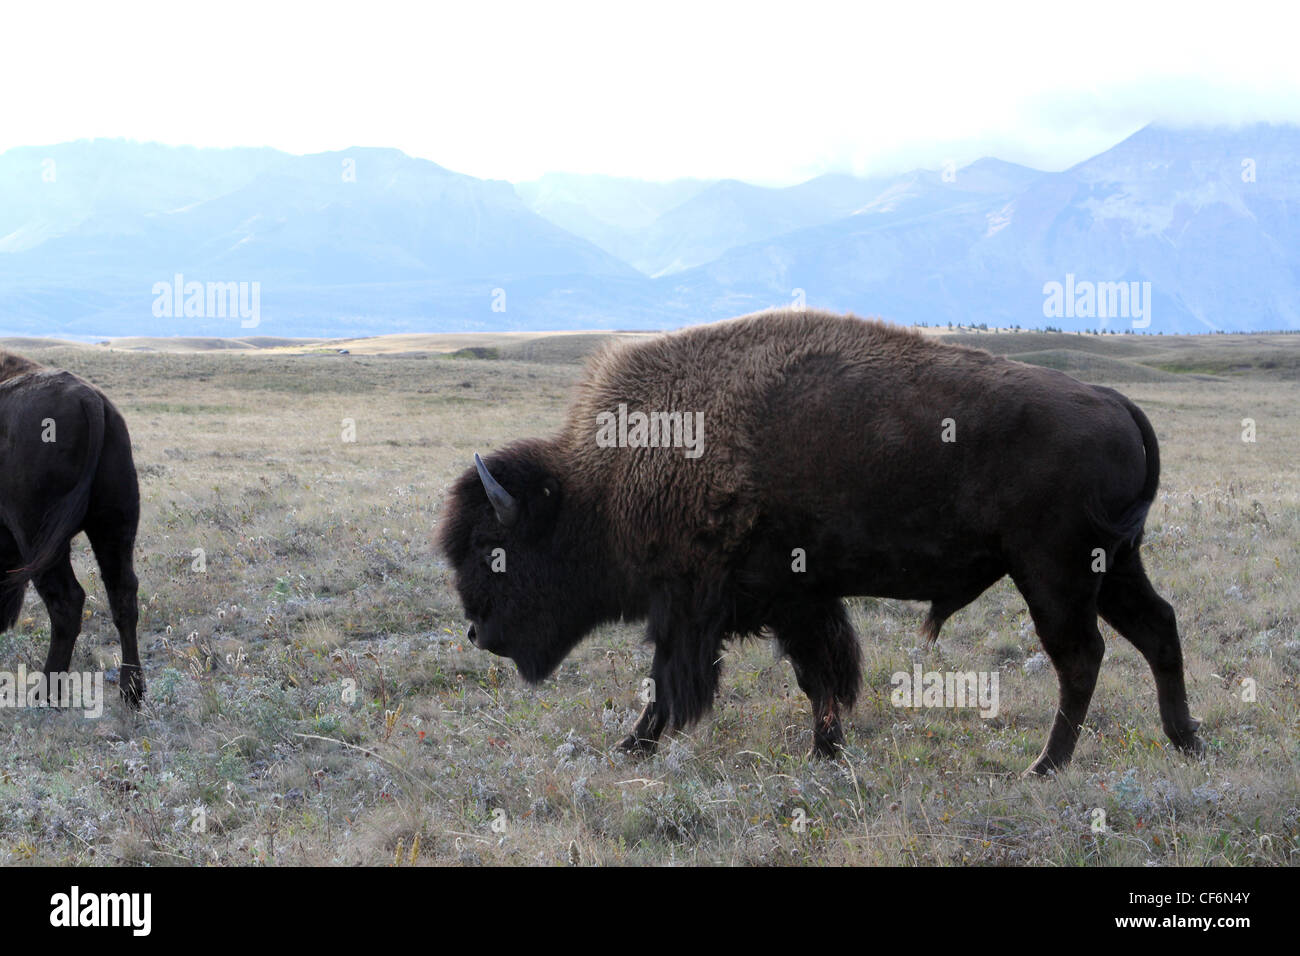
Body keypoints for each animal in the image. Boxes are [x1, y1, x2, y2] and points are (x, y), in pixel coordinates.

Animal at [0, 351, 144, 706]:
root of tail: (88, 398)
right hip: (114, 525)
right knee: (122, 592)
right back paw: (132, 691)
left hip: (39, 538)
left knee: (66, 600)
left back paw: (45, 694)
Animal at [438, 310, 1201, 774]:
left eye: (493, 551)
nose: (477, 632)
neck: (601, 483)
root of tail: (1115, 400)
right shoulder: (797, 600)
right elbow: (824, 674)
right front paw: (827, 750)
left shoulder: (708, 606)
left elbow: (683, 683)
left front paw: (635, 745)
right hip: (1113, 567)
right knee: (1157, 629)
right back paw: (1186, 742)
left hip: (1054, 575)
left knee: (1083, 658)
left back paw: (1044, 767)